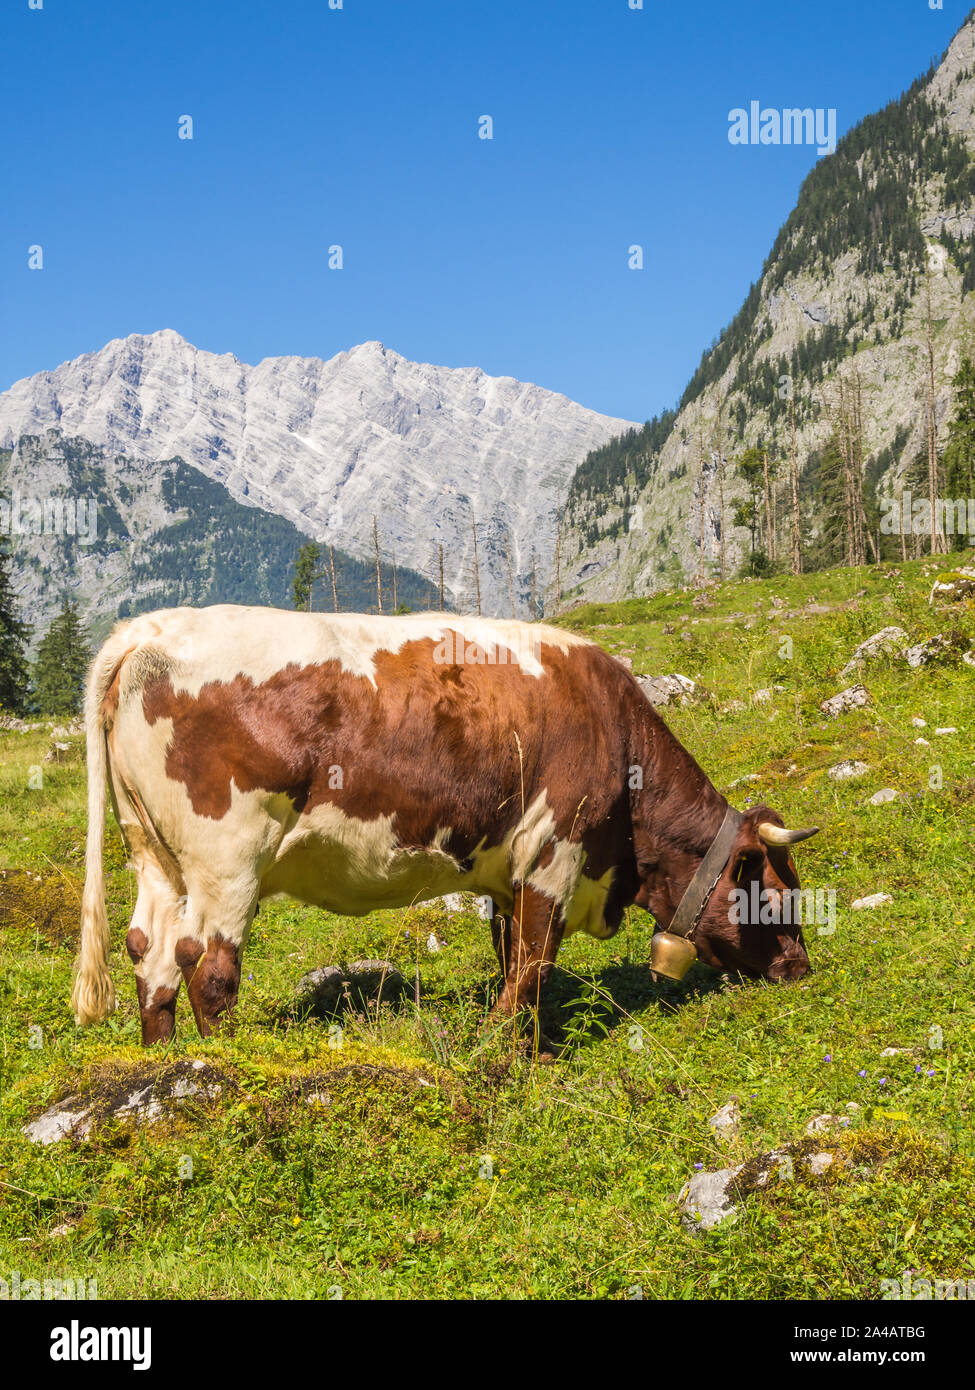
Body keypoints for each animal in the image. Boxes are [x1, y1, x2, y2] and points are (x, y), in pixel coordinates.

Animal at [72, 605, 819, 1049]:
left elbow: (509, 952)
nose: (800, 969)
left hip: (154, 854)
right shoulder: (554, 852)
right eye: (777, 894)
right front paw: (507, 1053)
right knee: (206, 963)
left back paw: (165, 1062)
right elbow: (533, 962)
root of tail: (152, 628)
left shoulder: (507, 872)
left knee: (151, 950)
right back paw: (227, 1066)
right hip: (226, 858)